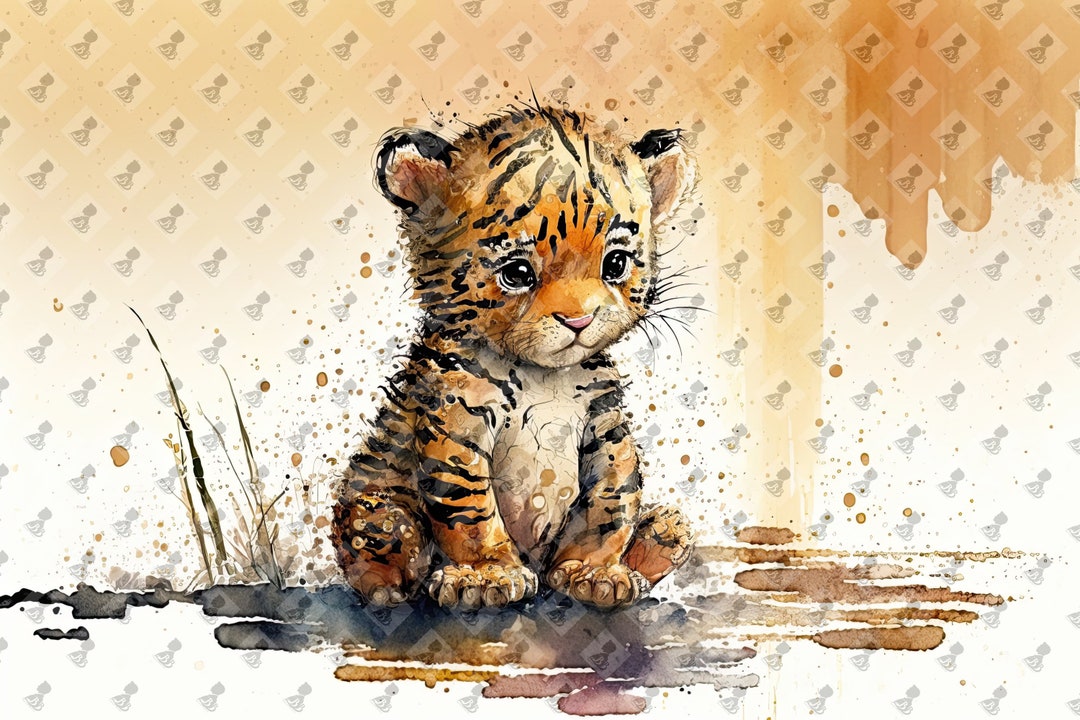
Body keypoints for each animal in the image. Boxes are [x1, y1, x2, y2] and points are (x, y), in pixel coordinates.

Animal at [331, 104, 697, 611]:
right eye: (517, 273)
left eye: (616, 264)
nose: (579, 320)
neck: (543, 376)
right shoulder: (456, 428)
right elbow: (469, 510)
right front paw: (486, 576)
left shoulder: (605, 427)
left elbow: (610, 504)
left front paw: (592, 571)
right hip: (373, 503)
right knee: (386, 542)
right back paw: (391, 587)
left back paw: (659, 539)